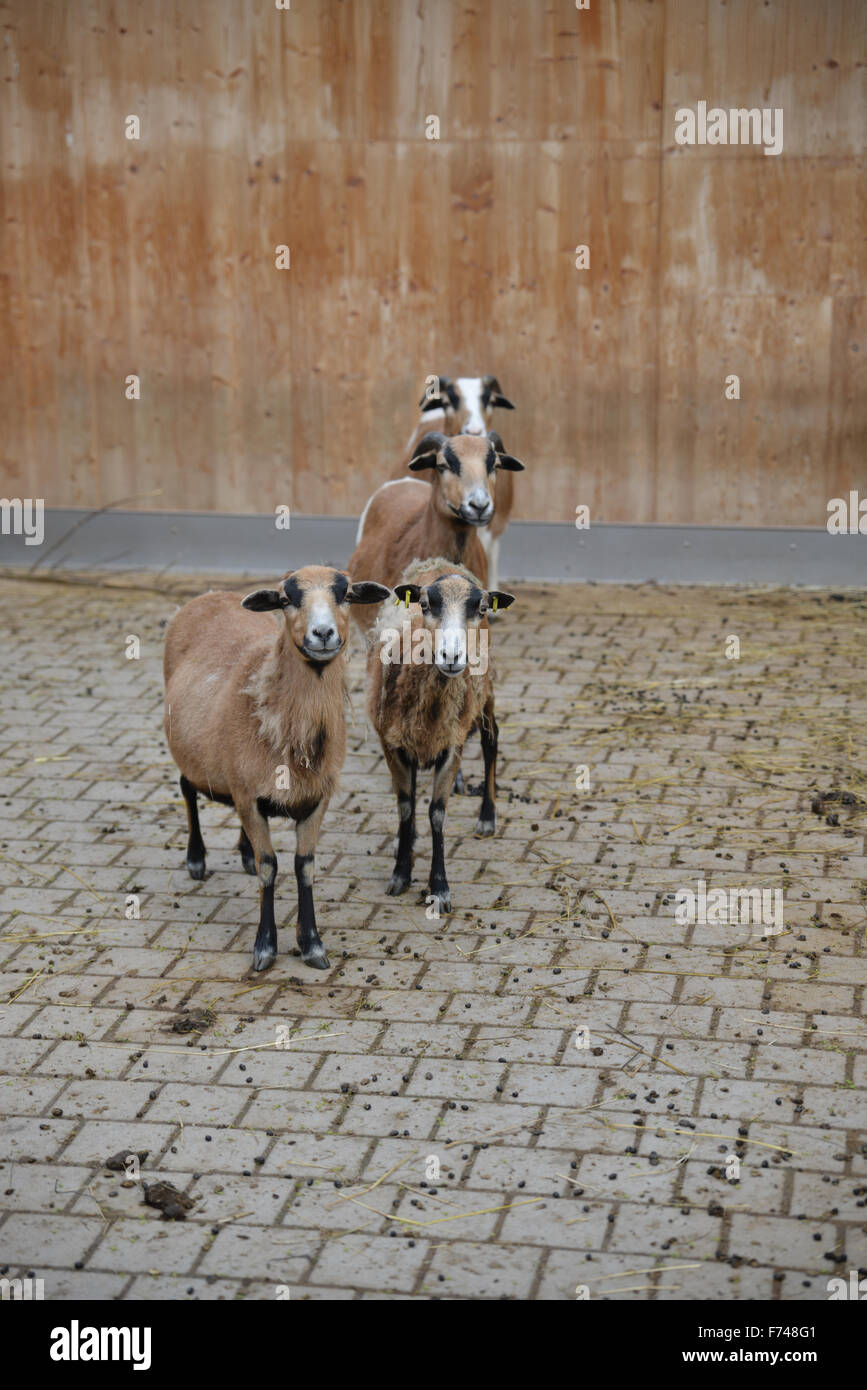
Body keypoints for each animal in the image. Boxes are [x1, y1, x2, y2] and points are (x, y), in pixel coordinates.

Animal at [163, 566, 390, 971]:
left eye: (346, 594)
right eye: (287, 599)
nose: (323, 633)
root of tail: (209, 594)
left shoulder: (316, 799)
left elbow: (304, 866)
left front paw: (312, 944)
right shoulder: (249, 797)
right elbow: (269, 866)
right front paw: (265, 948)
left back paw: (242, 853)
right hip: (193, 753)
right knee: (186, 787)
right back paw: (196, 859)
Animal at [367, 558, 515, 913]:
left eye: (481, 608)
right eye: (424, 604)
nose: (451, 657)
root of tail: (446, 564)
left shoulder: (452, 745)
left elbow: (437, 813)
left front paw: (440, 887)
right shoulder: (392, 742)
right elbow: (406, 806)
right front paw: (401, 872)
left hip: (485, 692)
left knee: (491, 741)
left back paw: (487, 817)